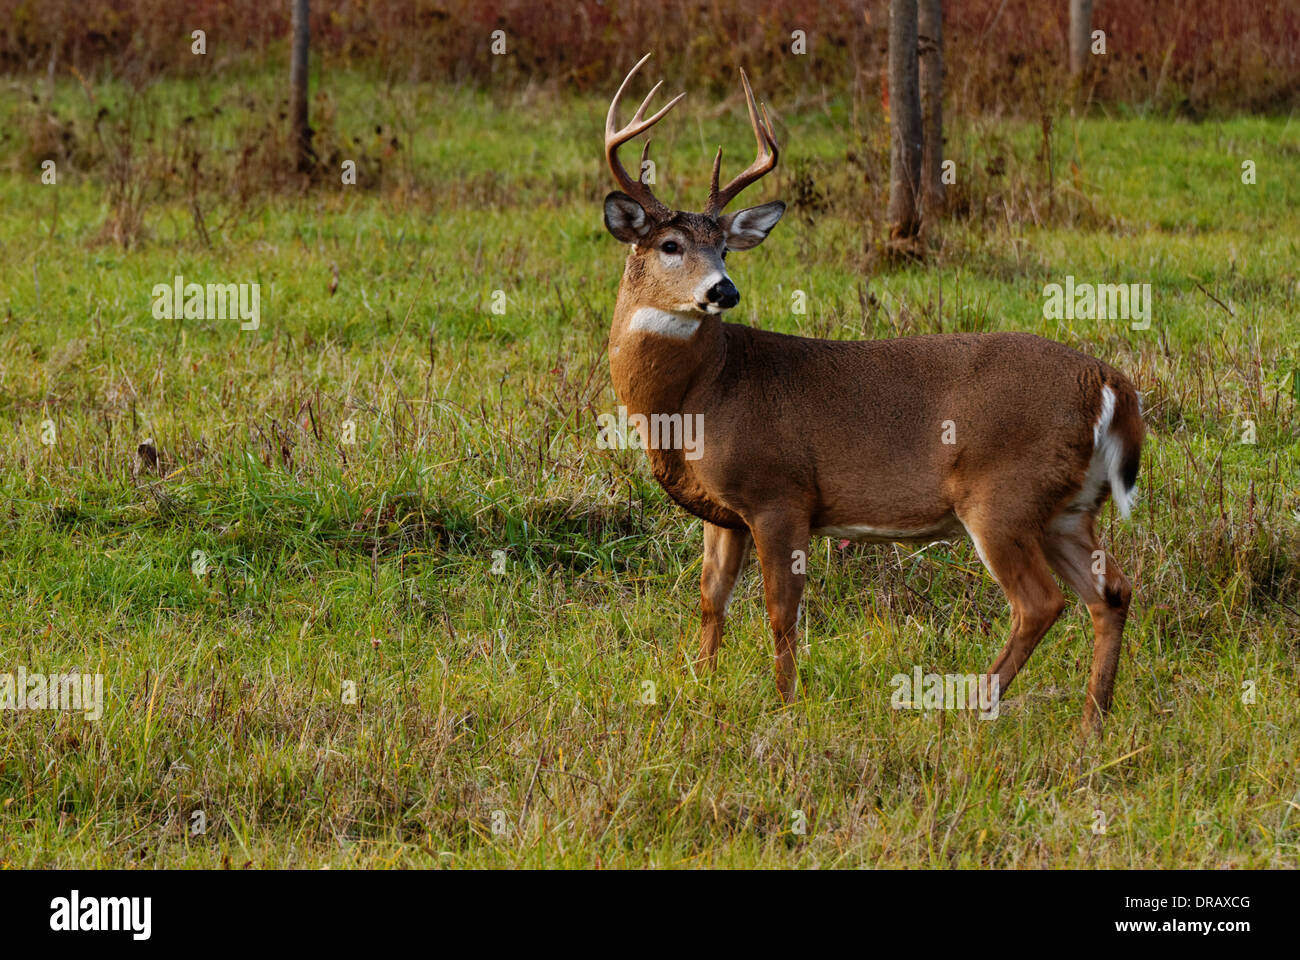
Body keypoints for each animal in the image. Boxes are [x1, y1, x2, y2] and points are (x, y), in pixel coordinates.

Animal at [600, 54, 1145, 732]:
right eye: (671, 245)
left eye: (724, 247)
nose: (723, 290)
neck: (699, 395)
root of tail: (1109, 383)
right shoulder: (723, 512)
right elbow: (711, 600)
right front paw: (700, 685)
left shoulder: (780, 493)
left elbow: (780, 610)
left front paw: (787, 705)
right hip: (1067, 508)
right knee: (1112, 592)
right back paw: (1093, 721)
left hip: (1003, 495)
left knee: (1041, 602)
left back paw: (974, 707)